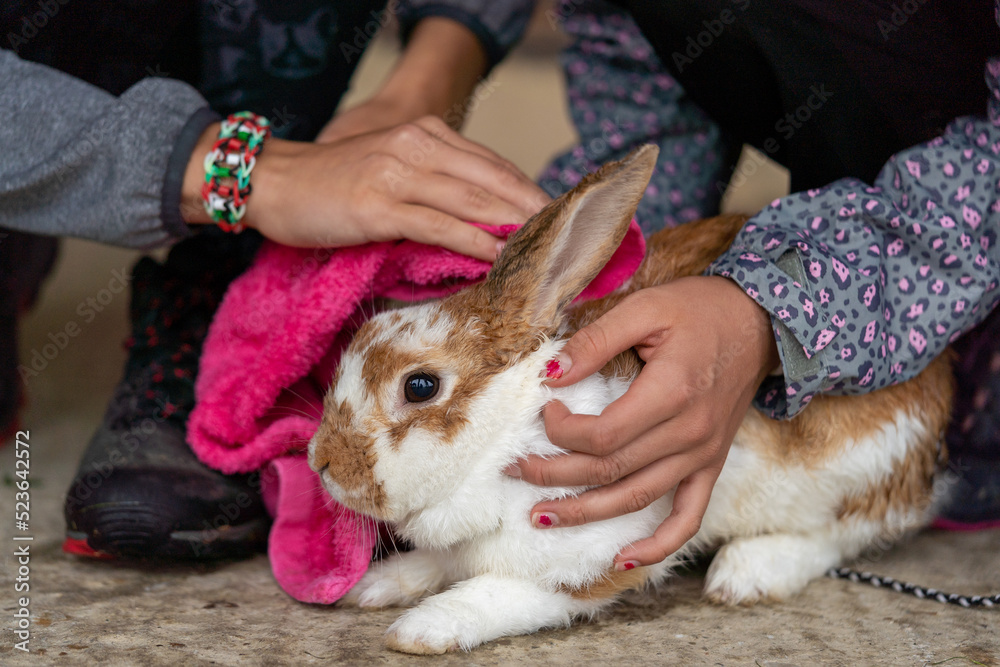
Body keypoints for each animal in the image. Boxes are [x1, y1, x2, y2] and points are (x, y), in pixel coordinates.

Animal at [308, 144, 954, 654]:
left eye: (420, 386)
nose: (320, 462)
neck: (502, 439)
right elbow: (438, 563)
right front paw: (376, 587)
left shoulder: (594, 561)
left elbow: (502, 594)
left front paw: (420, 631)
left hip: (855, 469)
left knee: (840, 535)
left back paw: (745, 575)